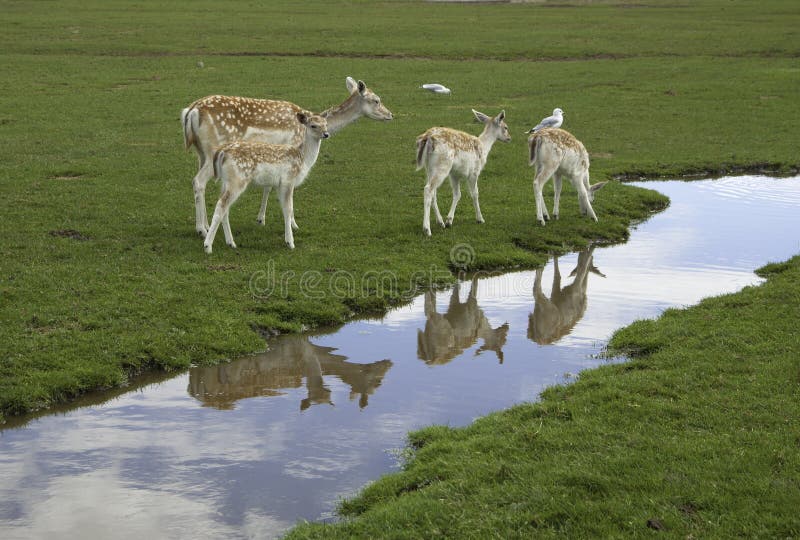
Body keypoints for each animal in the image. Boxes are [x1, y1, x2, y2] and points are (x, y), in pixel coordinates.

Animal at [182, 77, 394, 237]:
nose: (390, 114)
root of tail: (191, 111)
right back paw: (201, 229)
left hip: (201, 152)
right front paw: (292, 224)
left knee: (200, 182)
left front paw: (261, 219)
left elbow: (268, 186)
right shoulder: (292, 150)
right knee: (198, 181)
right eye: (376, 100)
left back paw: (205, 225)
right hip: (213, 149)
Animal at [203, 112, 328, 253]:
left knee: (225, 207)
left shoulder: (279, 185)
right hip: (237, 180)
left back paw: (231, 243)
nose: (326, 134)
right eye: (313, 125)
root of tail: (221, 152)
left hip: (226, 181)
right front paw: (290, 242)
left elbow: (285, 208)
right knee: (221, 204)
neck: (303, 159)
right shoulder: (288, 179)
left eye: (326, 123)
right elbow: (288, 208)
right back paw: (208, 246)